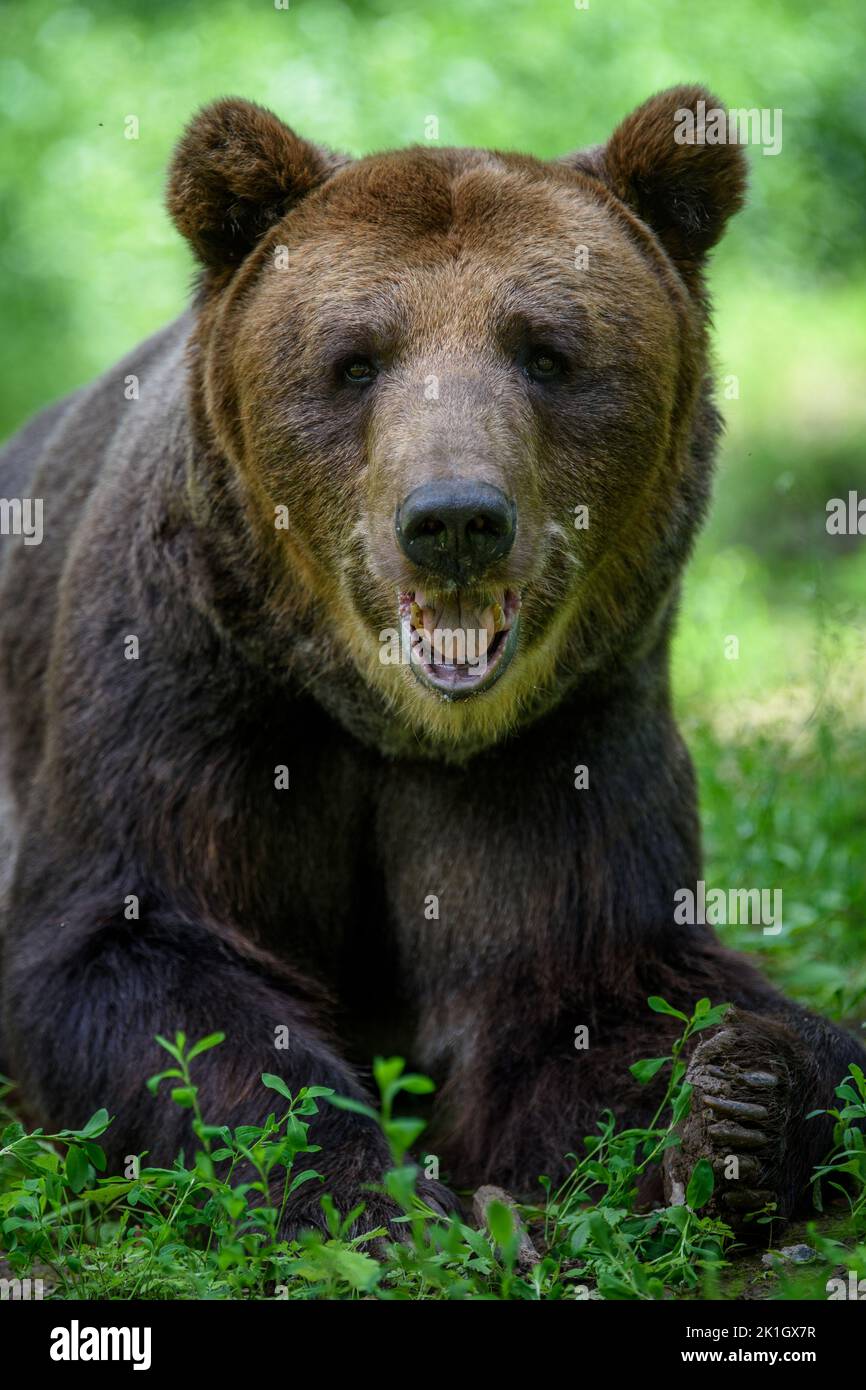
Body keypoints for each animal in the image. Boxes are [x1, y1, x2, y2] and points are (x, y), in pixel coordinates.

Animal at [0, 86, 861, 1240]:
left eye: (545, 352)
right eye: (356, 359)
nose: (454, 520)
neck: (388, 719)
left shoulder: (557, 736)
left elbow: (574, 991)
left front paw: (741, 1105)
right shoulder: (190, 678)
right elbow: (134, 957)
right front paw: (378, 1194)